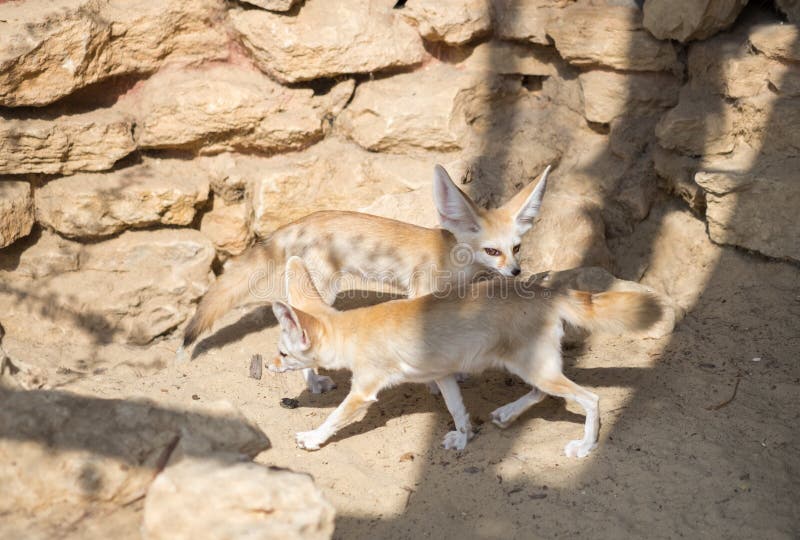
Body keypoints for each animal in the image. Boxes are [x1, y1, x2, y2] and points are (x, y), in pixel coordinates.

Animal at [182, 164, 551, 394]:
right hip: (325, 289)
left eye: (516, 248)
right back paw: (312, 382)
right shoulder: (420, 292)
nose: (516, 271)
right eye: (492, 251)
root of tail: (306, 219)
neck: (450, 257)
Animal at [268, 257, 663, 457]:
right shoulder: (441, 374)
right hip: (532, 366)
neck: (351, 330)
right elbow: (457, 410)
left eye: (282, 352)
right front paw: (463, 438)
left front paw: (312, 438)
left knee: (590, 398)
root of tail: (544, 291)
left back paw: (585, 445)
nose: (267, 366)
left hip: (533, 367)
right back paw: (506, 413)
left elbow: (334, 418)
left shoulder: (363, 392)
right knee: (543, 392)